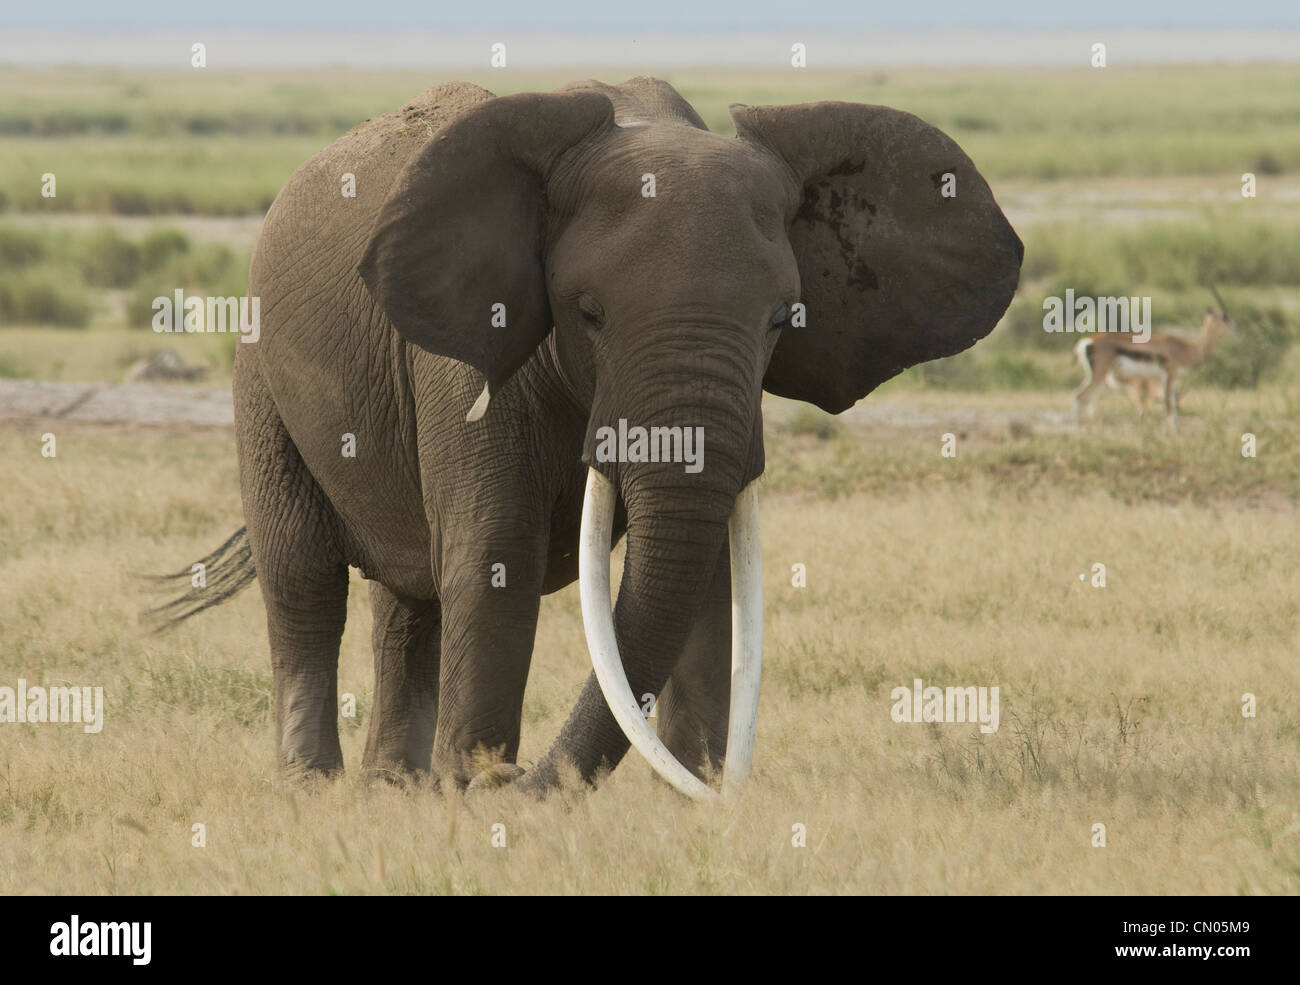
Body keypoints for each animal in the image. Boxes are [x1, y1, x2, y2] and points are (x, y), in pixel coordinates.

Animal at [155, 76, 1022, 799]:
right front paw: (472, 793)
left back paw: (392, 787)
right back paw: (318, 786)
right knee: (302, 574)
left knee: (406, 597)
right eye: (588, 313)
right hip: (259, 373)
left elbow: (701, 567)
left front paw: (688, 787)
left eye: (783, 318)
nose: (513, 778)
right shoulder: (464, 360)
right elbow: (493, 550)